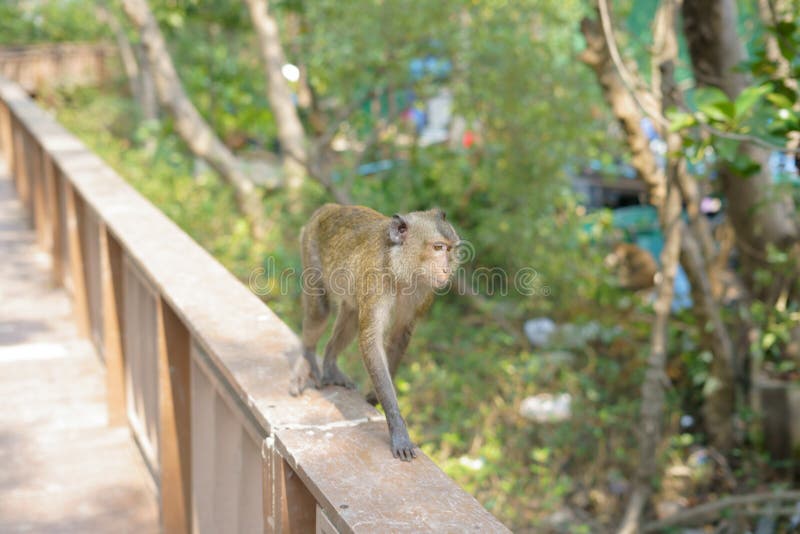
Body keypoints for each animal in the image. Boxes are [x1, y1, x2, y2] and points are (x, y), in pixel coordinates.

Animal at [290, 204, 460, 461]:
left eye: (451, 250)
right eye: (438, 247)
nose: (446, 269)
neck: (398, 267)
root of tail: (329, 207)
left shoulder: (423, 292)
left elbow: (400, 334)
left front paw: (372, 398)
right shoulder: (375, 279)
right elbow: (371, 340)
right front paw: (397, 427)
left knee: (350, 315)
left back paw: (330, 363)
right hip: (309, 246)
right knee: (320, 309)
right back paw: (307, 359)